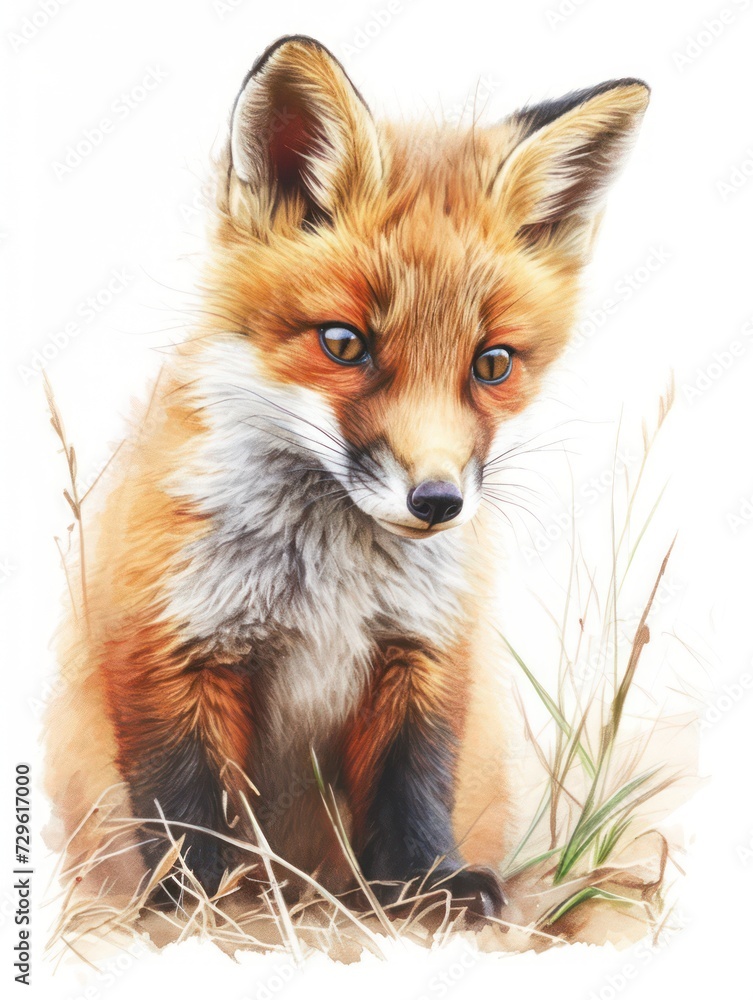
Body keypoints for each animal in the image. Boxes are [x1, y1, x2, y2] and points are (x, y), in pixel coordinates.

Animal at [45, 35, 649, 920]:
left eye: (492, 364)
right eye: (343, 344)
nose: (437, 501)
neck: (329, 585)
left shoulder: (421, 655)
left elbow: (412, 787)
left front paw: (428, 884)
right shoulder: (167, 644)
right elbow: (183, 797)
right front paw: (190, 896)